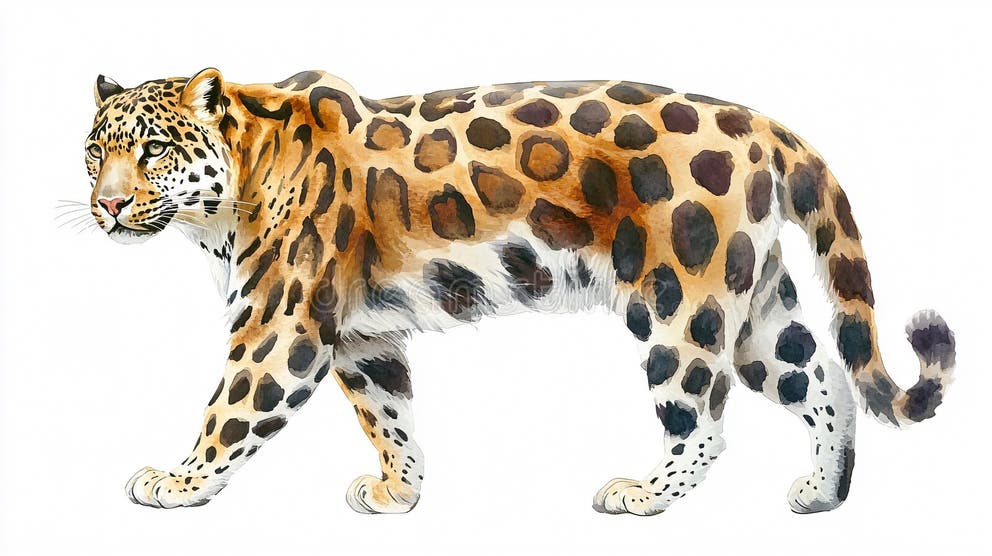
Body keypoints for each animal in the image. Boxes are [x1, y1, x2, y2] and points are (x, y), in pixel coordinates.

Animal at [78, 68, 956, 515]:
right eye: (95, 152)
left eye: (152, 150)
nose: (108, 206)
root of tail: (766, 126)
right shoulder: (362, 335)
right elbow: (388, 412)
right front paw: (399, 491)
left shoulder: (280, 327)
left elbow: (229, 409)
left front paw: (177, 482)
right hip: (755, 302)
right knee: (823, 378)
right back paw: (823, 492)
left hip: (681, 298)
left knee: (703, 421)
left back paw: (642, 495)